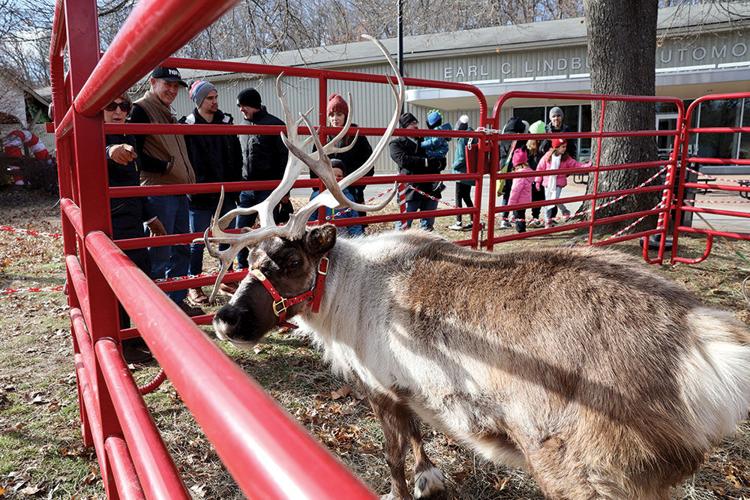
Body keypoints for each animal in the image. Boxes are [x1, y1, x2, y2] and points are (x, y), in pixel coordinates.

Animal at [202, 36, 750, 500]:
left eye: (292, 260)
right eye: (251, 259)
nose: (226, 320)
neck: (346, 298)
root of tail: (704, 346)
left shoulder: (381, 387)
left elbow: (395, 460)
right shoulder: (410, 392)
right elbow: (421, 448)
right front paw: (432, 479)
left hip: (579, 467)